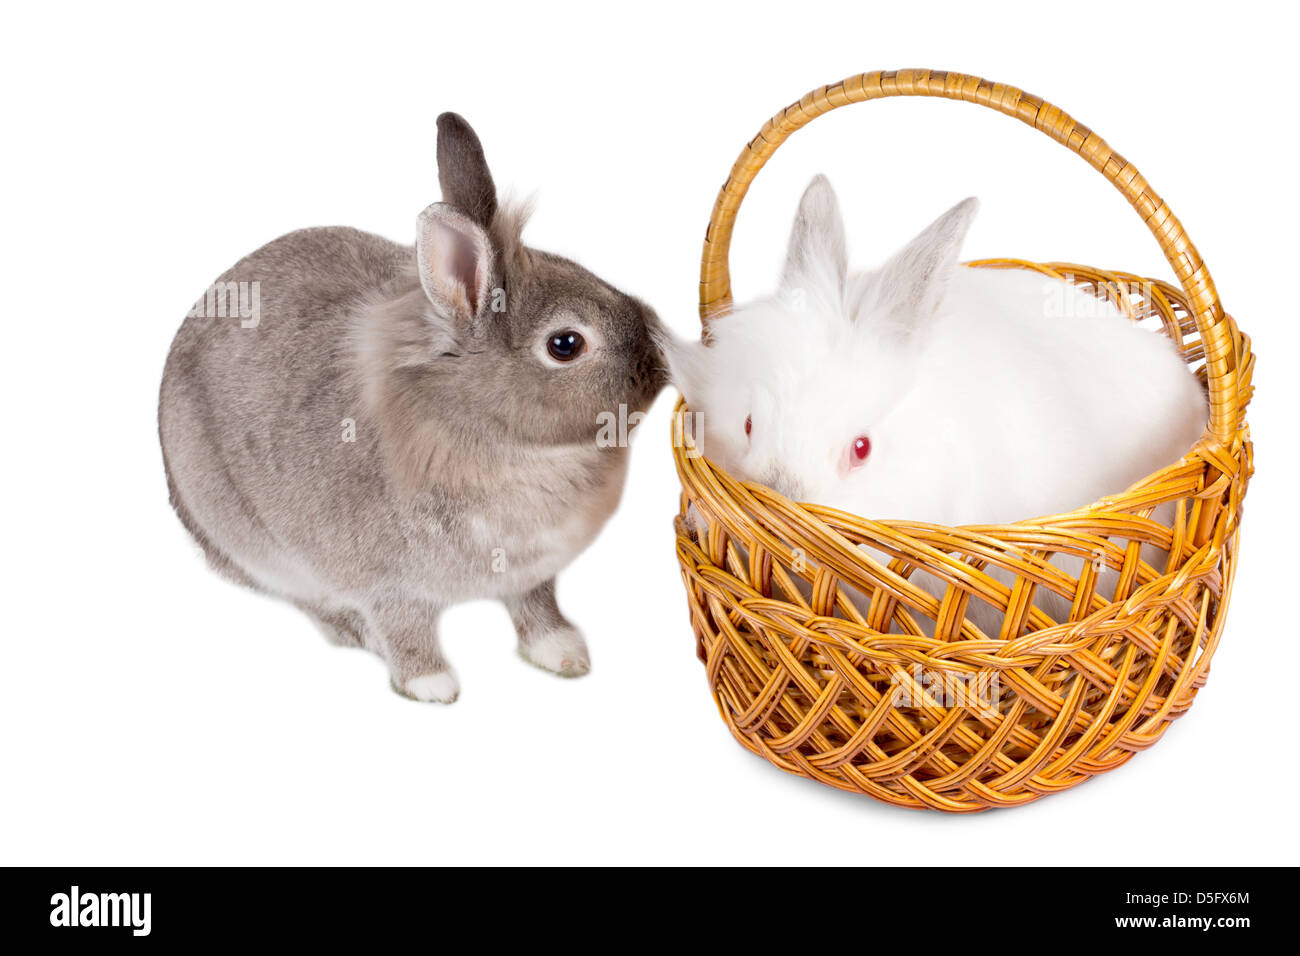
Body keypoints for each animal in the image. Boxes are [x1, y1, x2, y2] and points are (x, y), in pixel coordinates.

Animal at [159, 113, 666, 703]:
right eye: (565, 344)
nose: (659, 360)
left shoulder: (530, 575)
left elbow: (536, 605)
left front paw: (563, 653)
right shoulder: (386, 584)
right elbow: (404, 626)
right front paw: (432, 685)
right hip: (254, 548)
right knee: (313, 604)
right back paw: (358, 635)